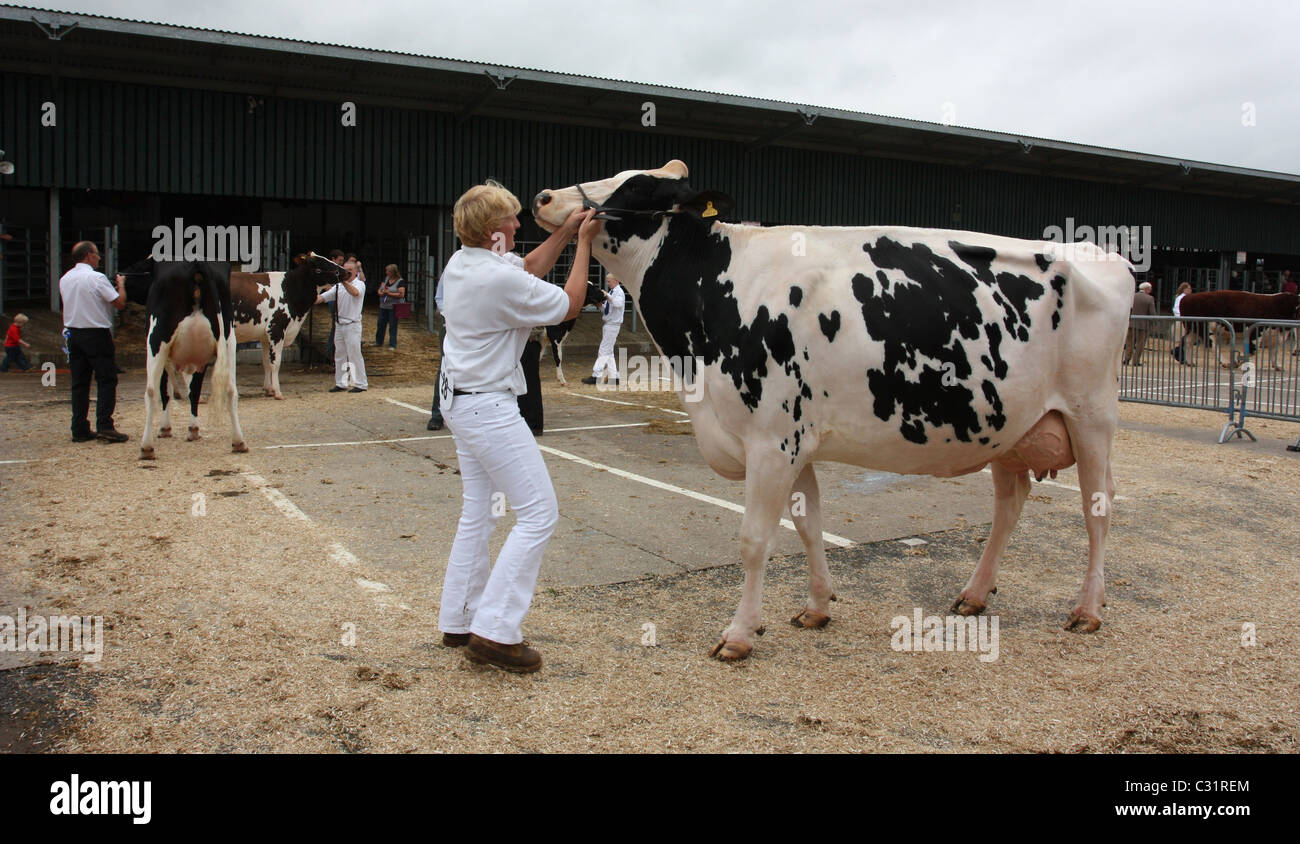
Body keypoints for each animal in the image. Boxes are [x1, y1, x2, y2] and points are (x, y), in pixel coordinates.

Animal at [140, 262, 246, 460]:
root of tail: (196, 264)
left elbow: (166, 390)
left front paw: (165, 428)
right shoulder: (200, 362)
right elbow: (193, 391)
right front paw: (194, 429)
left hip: (156, 341)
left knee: (151, 391)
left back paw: (146, 448)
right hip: (229, 341)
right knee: (230, 390)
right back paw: (239, 442)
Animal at [231, 253, 352, 398]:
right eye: (320, 266)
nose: (348, 272)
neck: (289, 289)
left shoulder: (265, 335)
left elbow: (266, 362)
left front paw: (268, 389)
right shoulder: (276, 330)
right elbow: (275, 363)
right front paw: (277, 392)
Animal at [533, 160, 1134, 661]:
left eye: (635, 187)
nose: (544, 196)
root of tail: (1108, 257)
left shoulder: (771, 440)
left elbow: (755, 539)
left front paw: (738, 635)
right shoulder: (796, 440)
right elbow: (808, 525)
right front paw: (817, 607)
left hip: (1092, 416)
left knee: (1098, 508)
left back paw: (1087, 610)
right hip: (1010, 425)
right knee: (1010, 504)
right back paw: (974, 594)